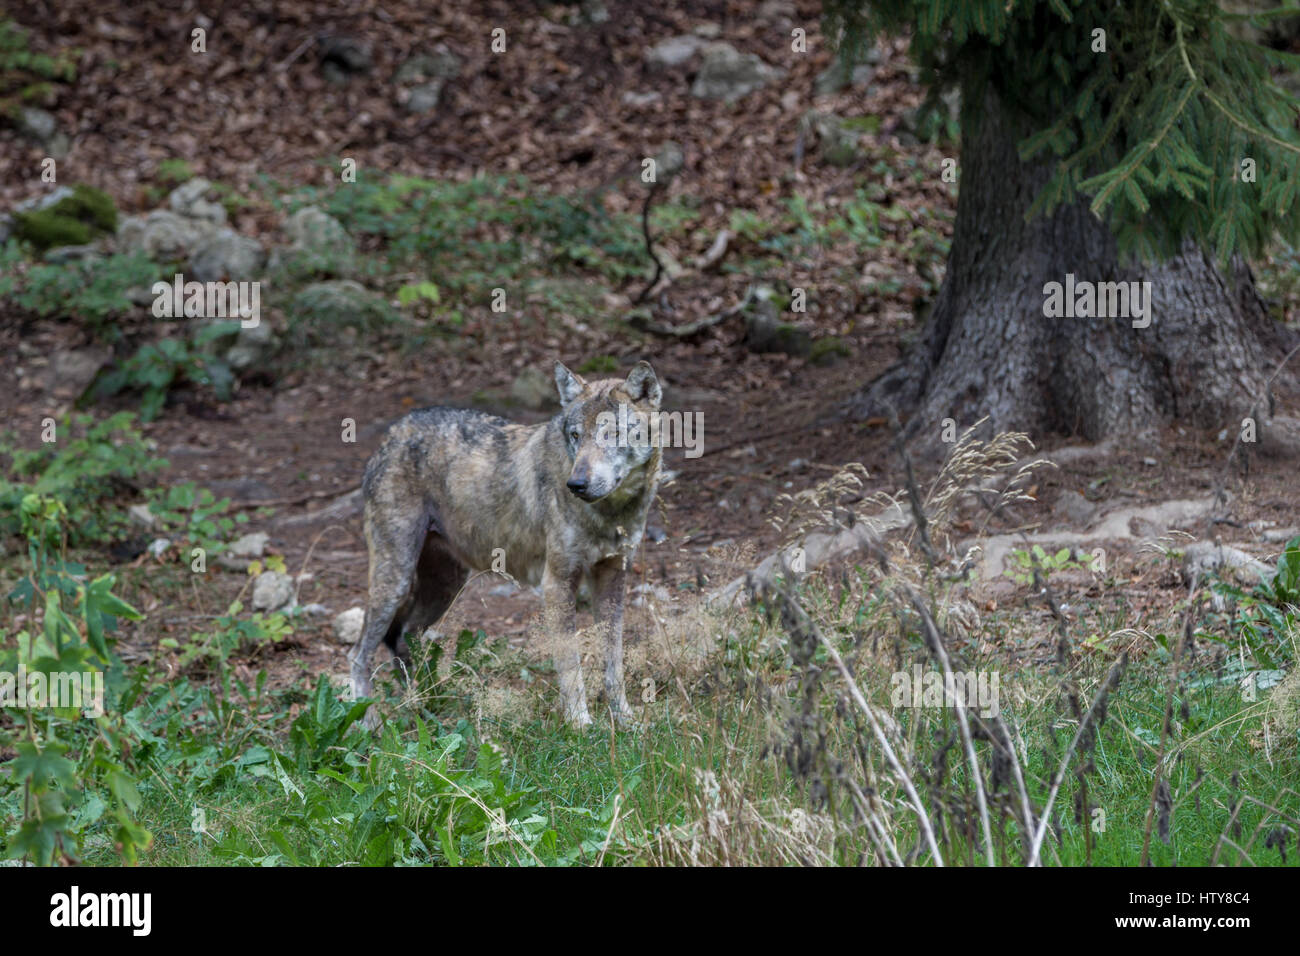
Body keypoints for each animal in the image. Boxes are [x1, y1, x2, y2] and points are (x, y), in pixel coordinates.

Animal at [349, 361, 663, 728]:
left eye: (611, 434)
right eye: (575, 436)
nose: (576, 484)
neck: (611, 513)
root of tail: (394, 432)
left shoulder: (613, 575)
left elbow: (613, 660)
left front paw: (625, 719)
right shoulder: (557, 583)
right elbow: (570, 665)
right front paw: (580, 725)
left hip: (445, 587)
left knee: (405, 638)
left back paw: (426, 705)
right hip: (396, 582)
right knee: (359, 654)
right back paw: (368, 723)